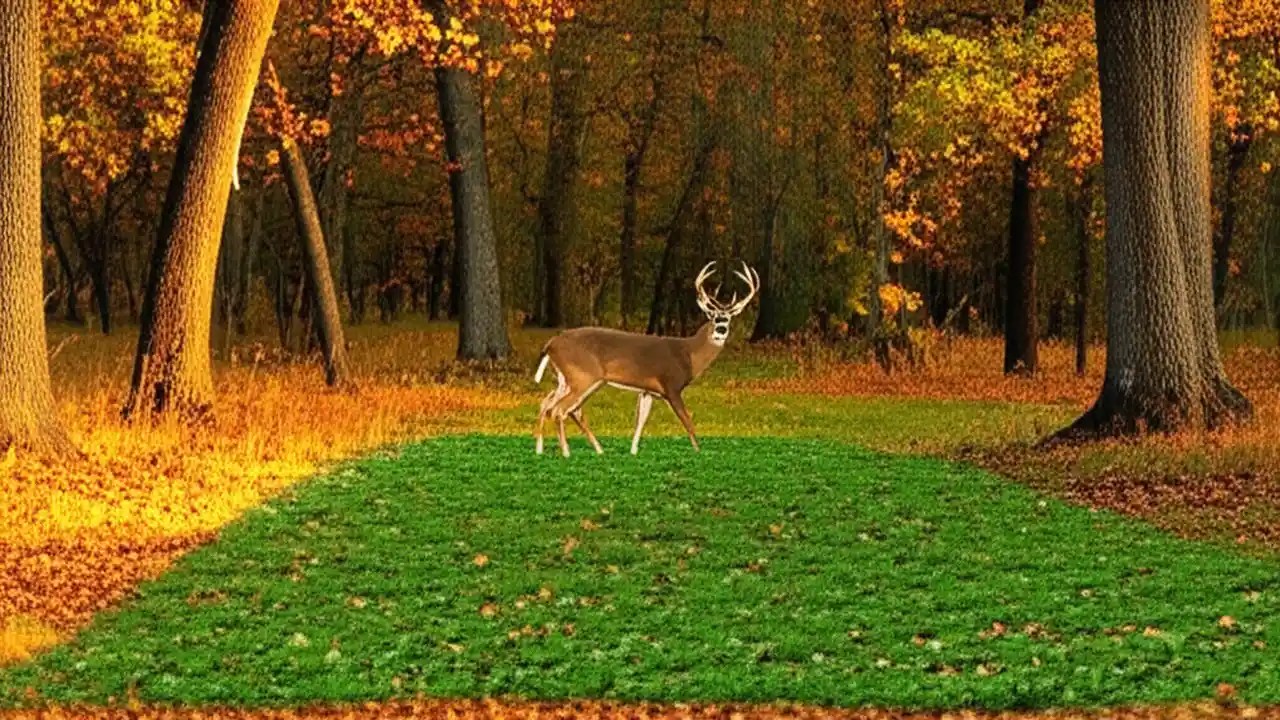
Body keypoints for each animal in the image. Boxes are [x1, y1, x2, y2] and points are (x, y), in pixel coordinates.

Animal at [533, 260, 760, 457]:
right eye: (712, 316)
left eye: (729, 318)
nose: (721, 329)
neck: (688, 354)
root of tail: (550, 344)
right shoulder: (671, 386)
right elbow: (688, 421)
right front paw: (698, 451)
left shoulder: (647, 391)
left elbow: (640, 421)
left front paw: (633, 451)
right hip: (583, 376)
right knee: (560, 409)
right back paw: (566, 452)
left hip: (567, 378)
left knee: (549, 403)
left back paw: (545, 449)